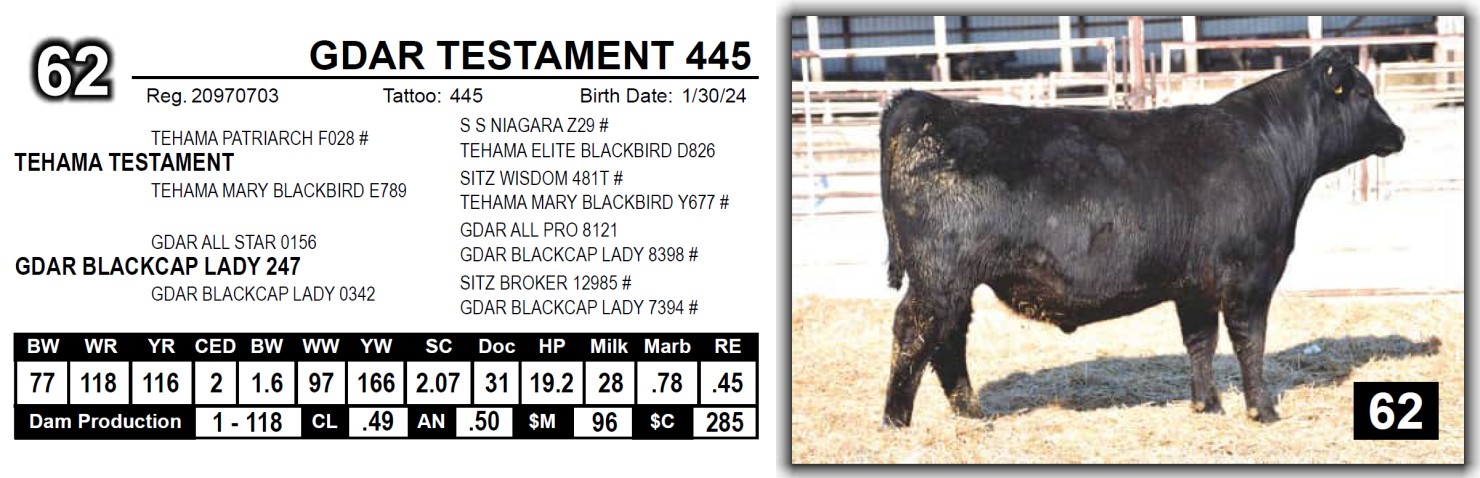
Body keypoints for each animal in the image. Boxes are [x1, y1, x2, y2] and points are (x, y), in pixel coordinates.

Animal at [878, 48, 1404, 427]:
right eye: (1363, 92)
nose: (1398, 133)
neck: (1271, 147)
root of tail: (922, 102)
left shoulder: (1195, 285)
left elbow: (1201, 342)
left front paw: (1207, 405)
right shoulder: (1251, 275)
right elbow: (1249, 342)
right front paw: (1264, 411)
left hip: (953, 283)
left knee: (948, 338)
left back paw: (971, 414)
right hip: (939, 276)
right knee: (915, 331)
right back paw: (896, 421)